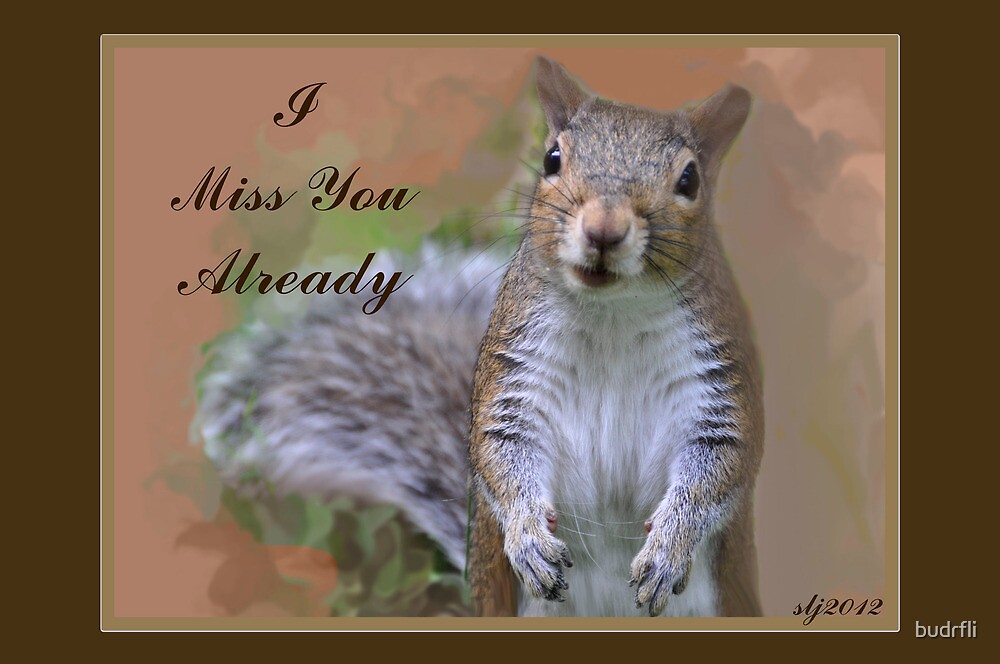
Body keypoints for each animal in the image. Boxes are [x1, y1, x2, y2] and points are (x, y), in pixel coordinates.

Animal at [196, 57, 763, 618]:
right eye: (552, 158)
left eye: (689, 179)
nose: (604, 230)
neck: (613, 313)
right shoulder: (514, 375)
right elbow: (500, 452)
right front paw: (528, 537)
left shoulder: (715, 383)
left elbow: (718, 466)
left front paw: (668, 547)